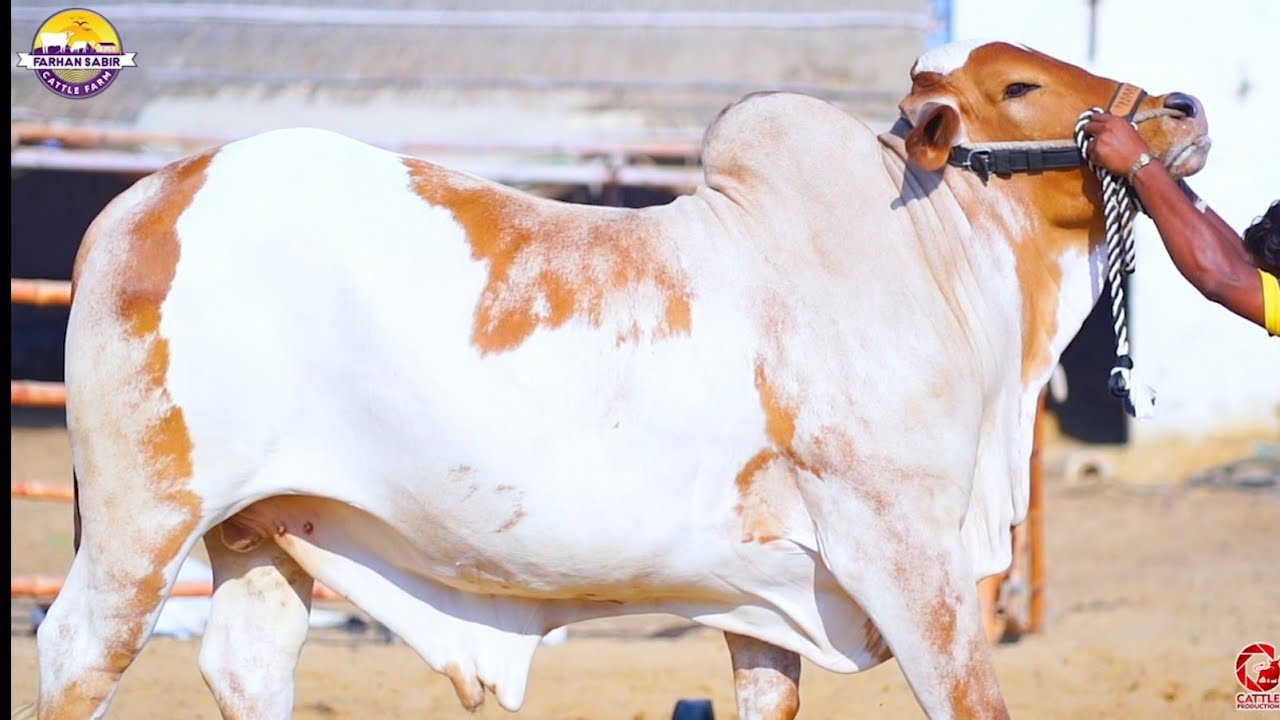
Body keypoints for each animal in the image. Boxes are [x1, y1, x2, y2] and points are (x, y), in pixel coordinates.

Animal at [29, 40, 1210, 720]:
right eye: (1020, 85)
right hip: (142, 528)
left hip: (263, 531)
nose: (1182, 110)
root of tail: (137, 205)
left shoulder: (763, 601)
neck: (929, 255)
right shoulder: (910, 562)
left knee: (249, 668)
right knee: (74, 653)